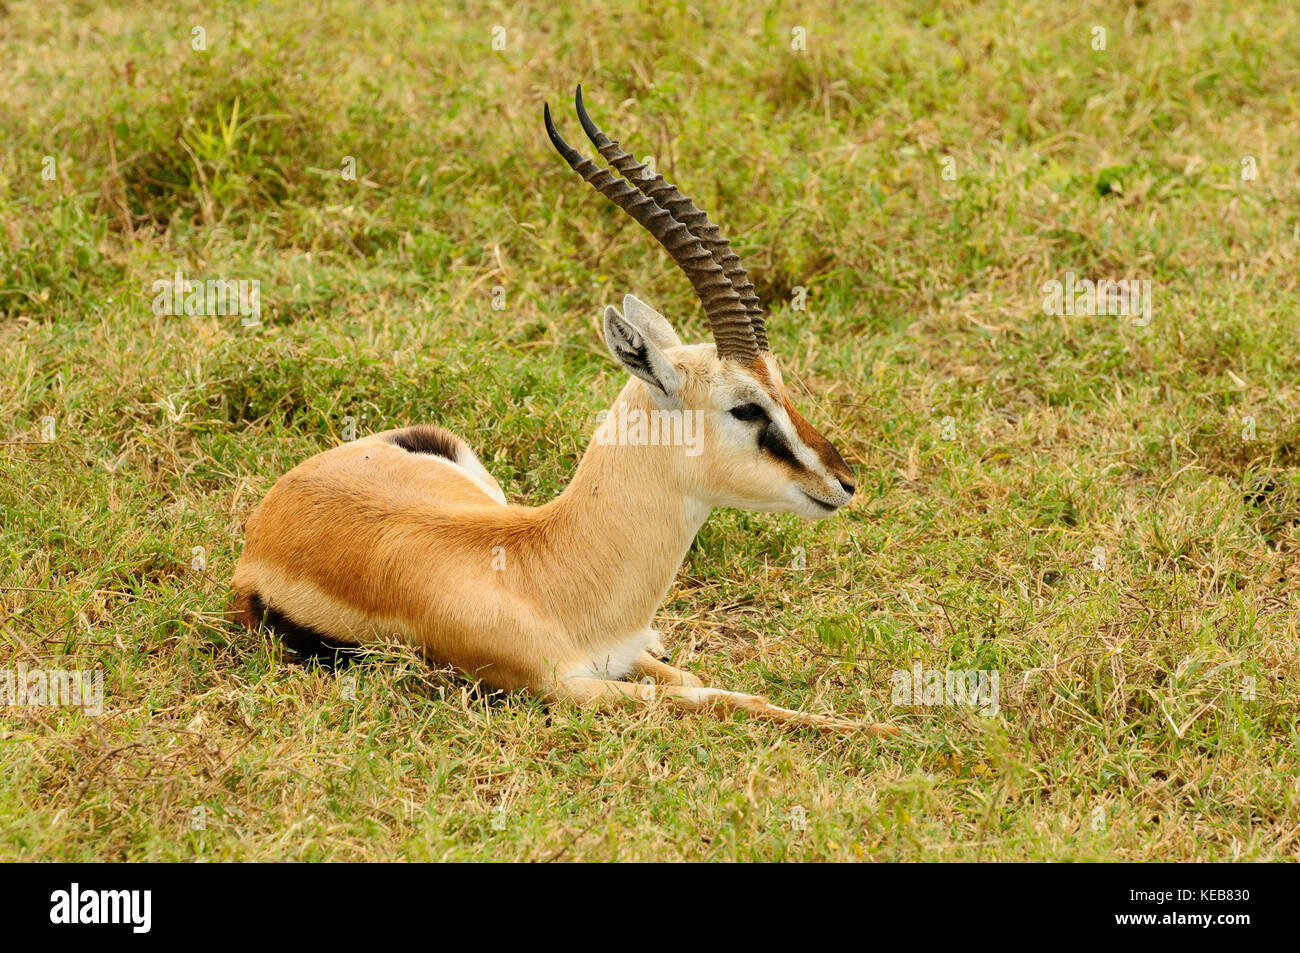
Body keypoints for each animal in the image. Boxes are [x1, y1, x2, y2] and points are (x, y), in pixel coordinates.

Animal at [231, 87, 895, 736]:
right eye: (746, 408)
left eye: (781, 385)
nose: (844, 482)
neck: (548, 577)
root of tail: (281, 496)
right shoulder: (565, 692)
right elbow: (725, 699)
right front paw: (884, 730)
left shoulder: (629, 654)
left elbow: (690, 679)